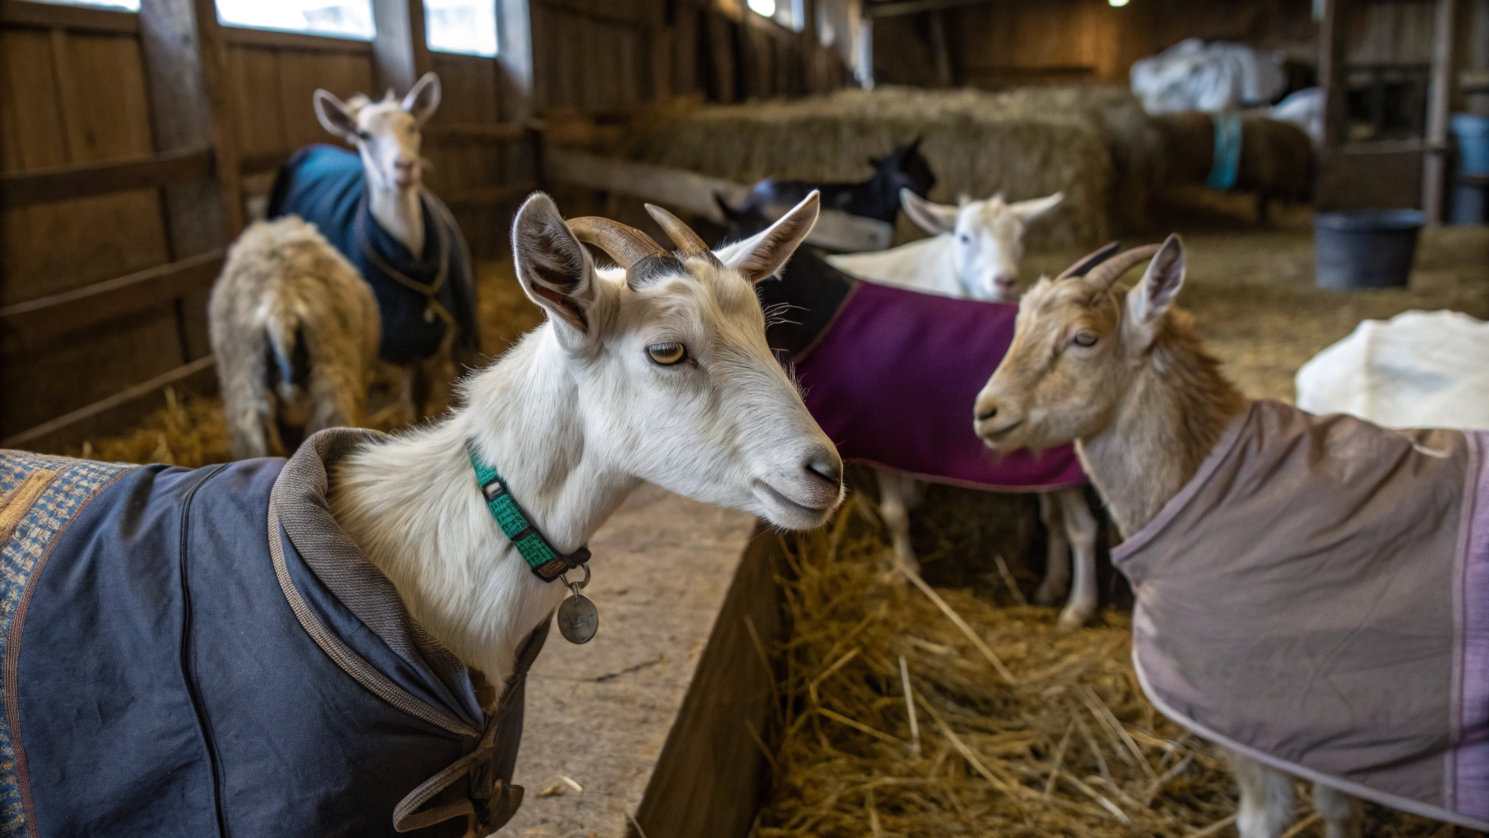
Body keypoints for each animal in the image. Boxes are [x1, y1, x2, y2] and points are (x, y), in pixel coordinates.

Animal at [268, 71, 475, 422]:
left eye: (413, 126)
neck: (409, 256)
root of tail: (314, 149)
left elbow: (423, 401)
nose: (404, 167)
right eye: (363, 135)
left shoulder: (430, 344)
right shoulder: (384, 347)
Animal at [975, 238, 1489, 838]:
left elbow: (1264, 817)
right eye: (1019, 325)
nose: (986, 411)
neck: (1203, 474)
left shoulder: (1247, 707)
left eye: (1084, 337)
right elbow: (1339, 807)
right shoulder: (1335, 731)